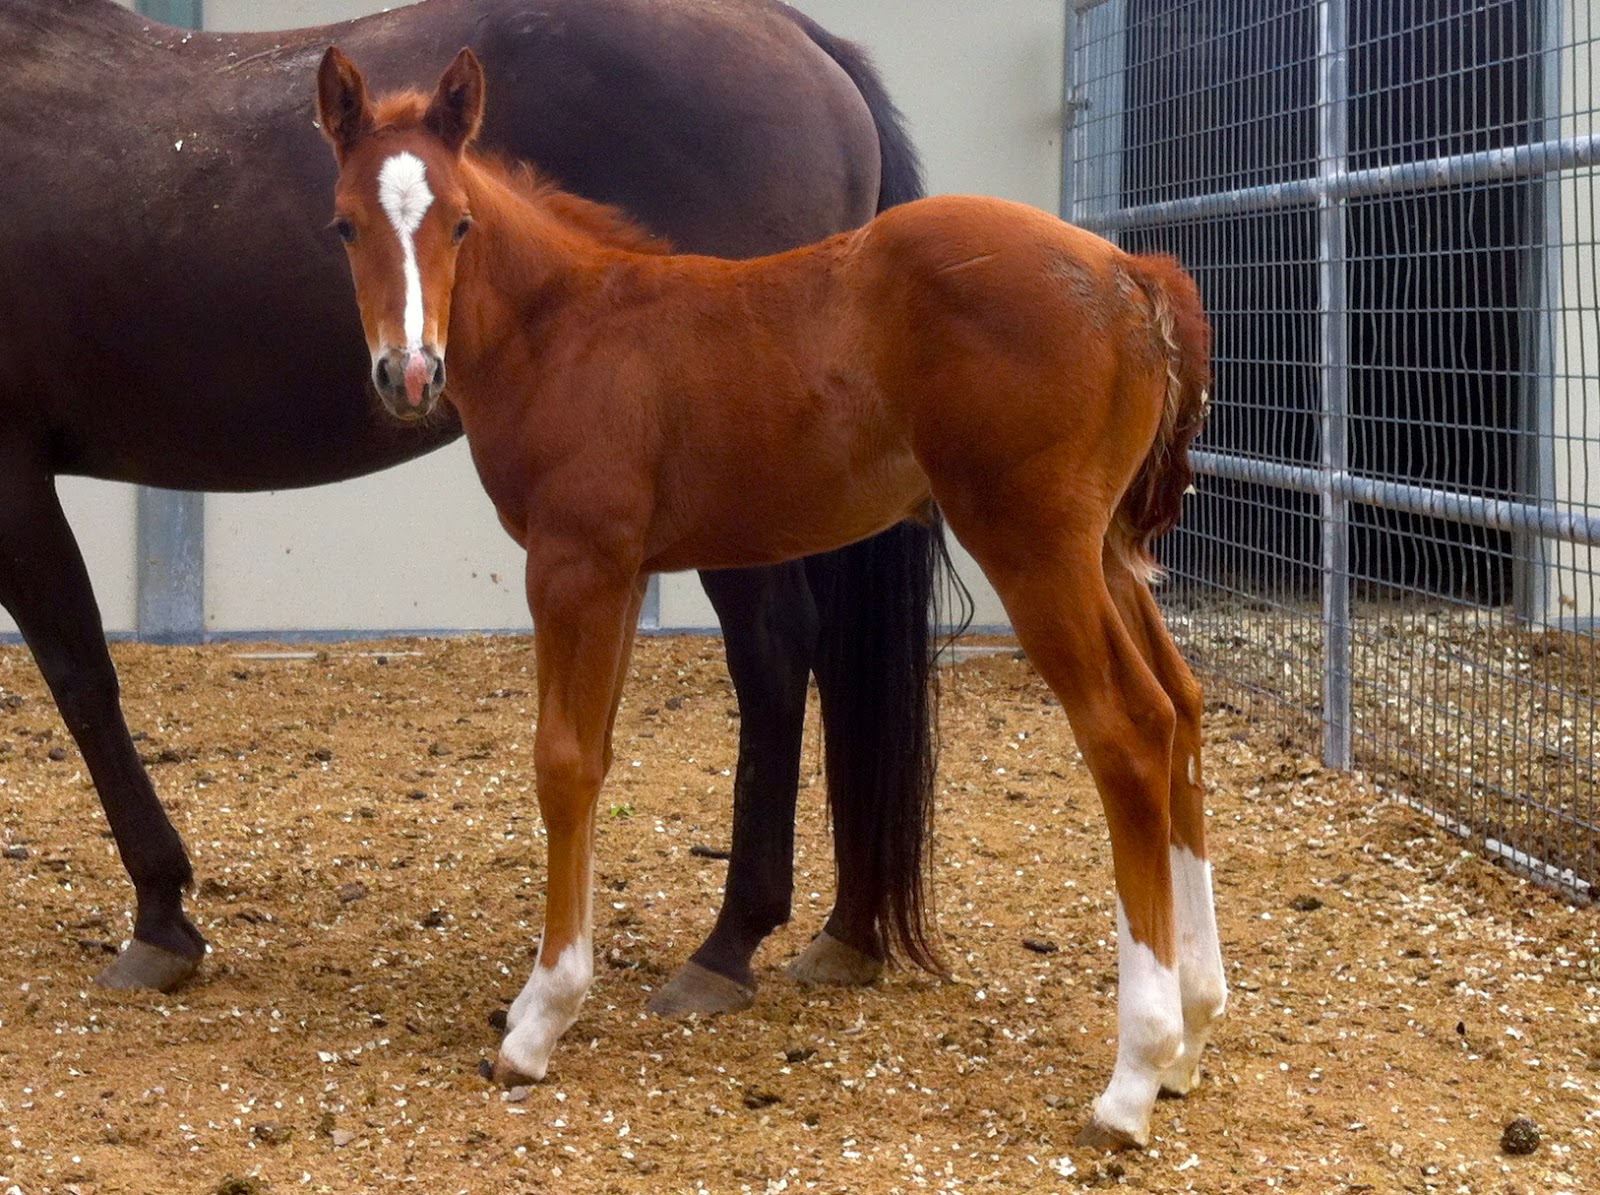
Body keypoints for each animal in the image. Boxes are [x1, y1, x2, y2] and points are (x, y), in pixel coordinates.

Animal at [0, 0, 946, 1011]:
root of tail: (803, 40)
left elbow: (82, 678)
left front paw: (161, 917)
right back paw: (843, 932)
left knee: (772, 653)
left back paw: (728, 944)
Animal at [317, 46, 1226, 1151]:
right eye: (345, 224)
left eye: (456, 222)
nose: (408, 373)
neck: (569, 330)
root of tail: (1132, 275)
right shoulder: (623, 571)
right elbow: (594, 758)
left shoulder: (575, 562)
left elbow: (562, 763)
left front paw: (538, 1023)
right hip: (1107, 551)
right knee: (1181, 711)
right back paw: (1191, 1032)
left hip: (1037, 546)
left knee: (1128, 731)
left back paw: (1133, 1075)